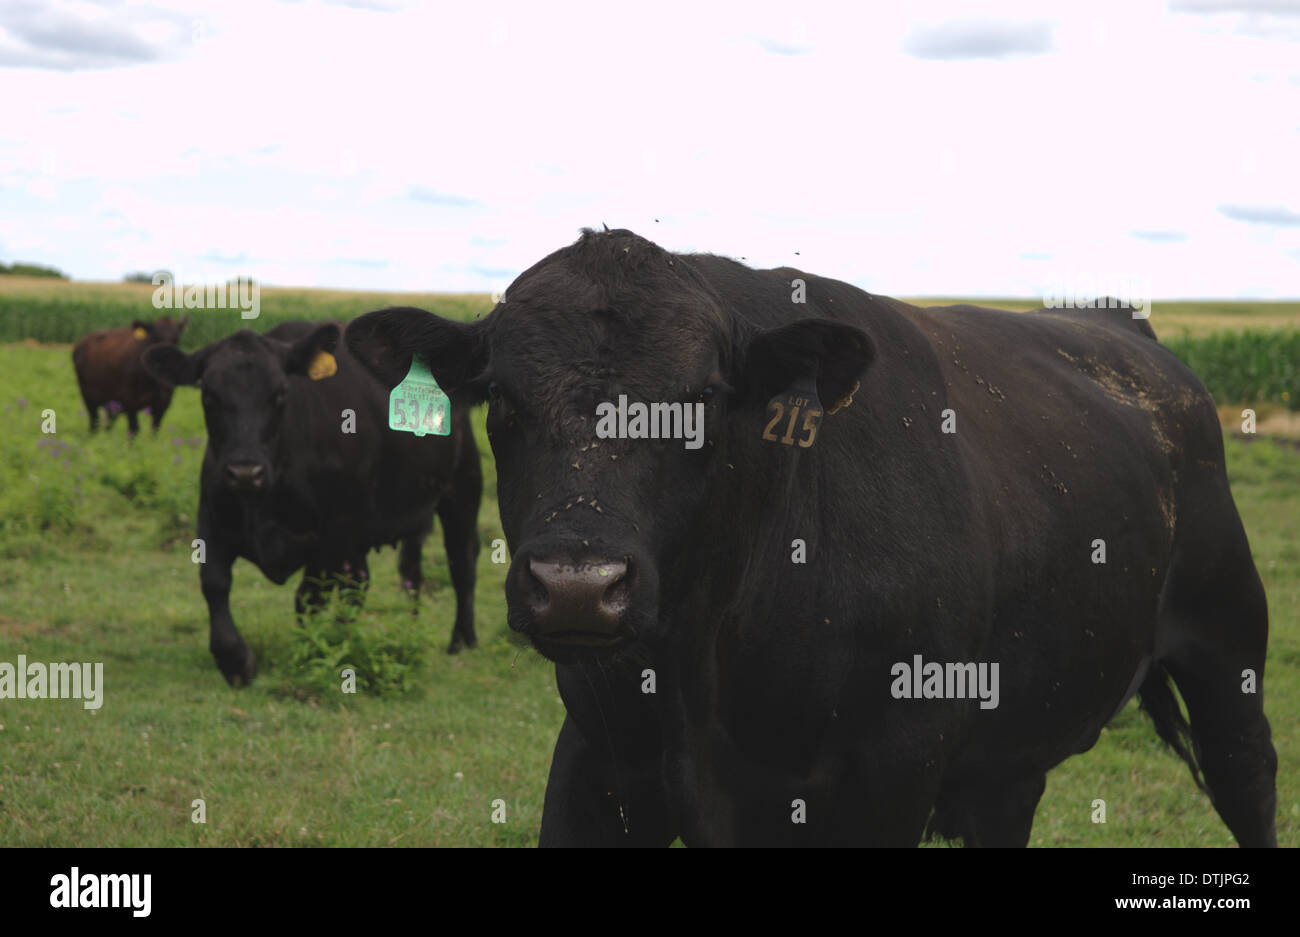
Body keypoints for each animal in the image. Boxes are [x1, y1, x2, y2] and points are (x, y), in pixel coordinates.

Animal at [142, 320, 482, 686]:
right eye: (208, 395)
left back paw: (462, 639)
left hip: (461, 493)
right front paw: (235, 660)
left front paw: (311, 650)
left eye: (280, 393)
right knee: (359, 584)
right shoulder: (212, 520)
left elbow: (309, 598)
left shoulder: (331, 536)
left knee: (462, 562)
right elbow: (215, 584)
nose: (245, 472)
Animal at [346, 228, 1276, 847]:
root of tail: (1129, 333)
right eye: (500, 396)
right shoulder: (598, 757)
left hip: (1228, 649)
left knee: (1249, 780)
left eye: (705, 399)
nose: (579, 583)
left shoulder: (892, 773)